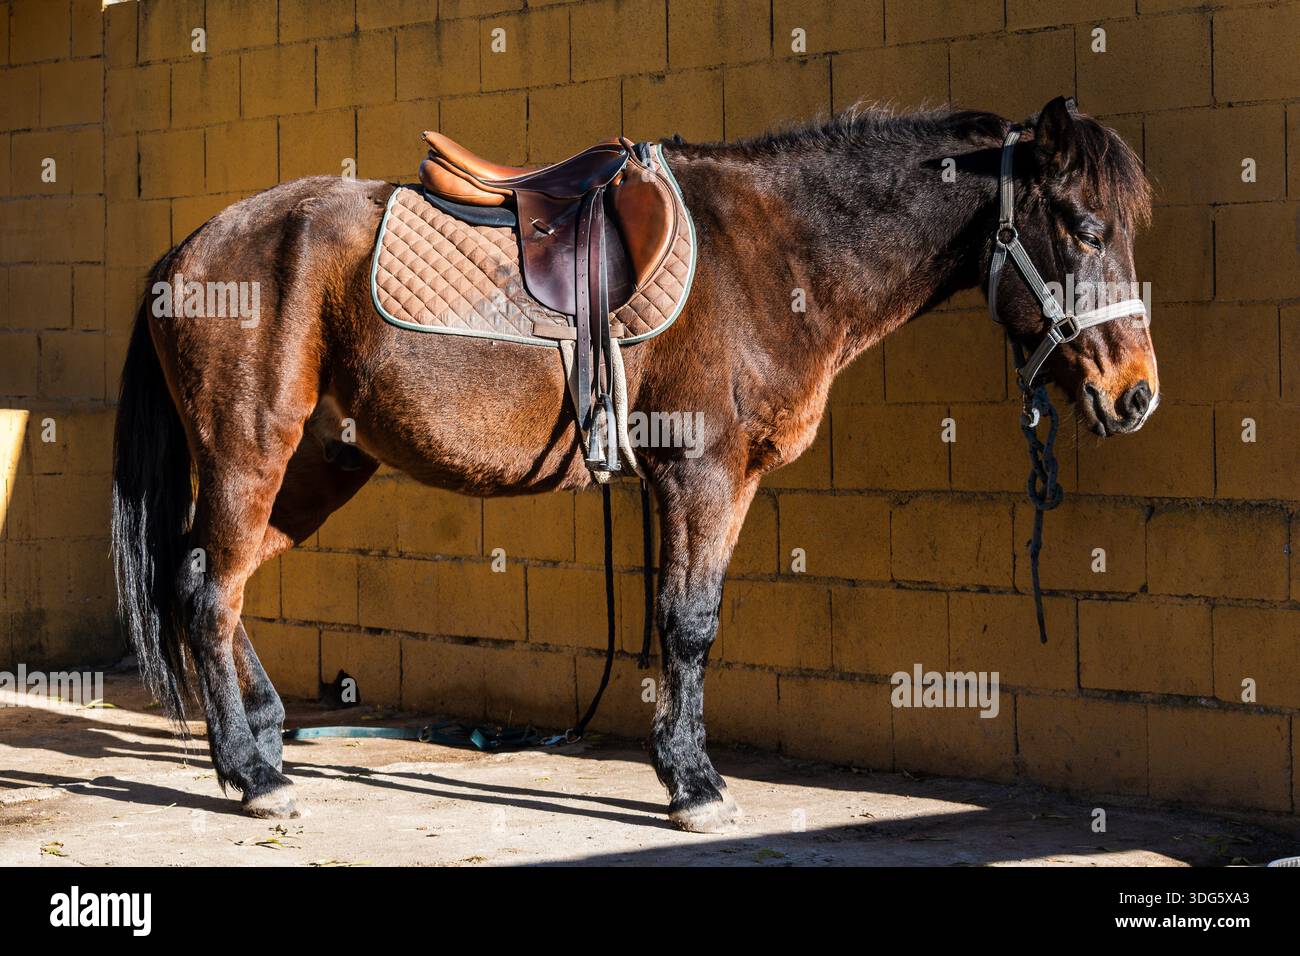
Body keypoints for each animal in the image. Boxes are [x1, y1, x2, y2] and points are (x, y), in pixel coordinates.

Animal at [111, 96, 1156, 832]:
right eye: (1085, 228)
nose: (1135, 395)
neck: (775, 254)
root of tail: (186, 251)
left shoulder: (692, 485)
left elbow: (675, 621)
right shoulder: (705, 474)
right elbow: (689, 627)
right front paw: (694, 785)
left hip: (319, 465)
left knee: (214, 580)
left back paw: (263, 744)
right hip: (250, 452)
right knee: (208, 587)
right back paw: (251, 775)